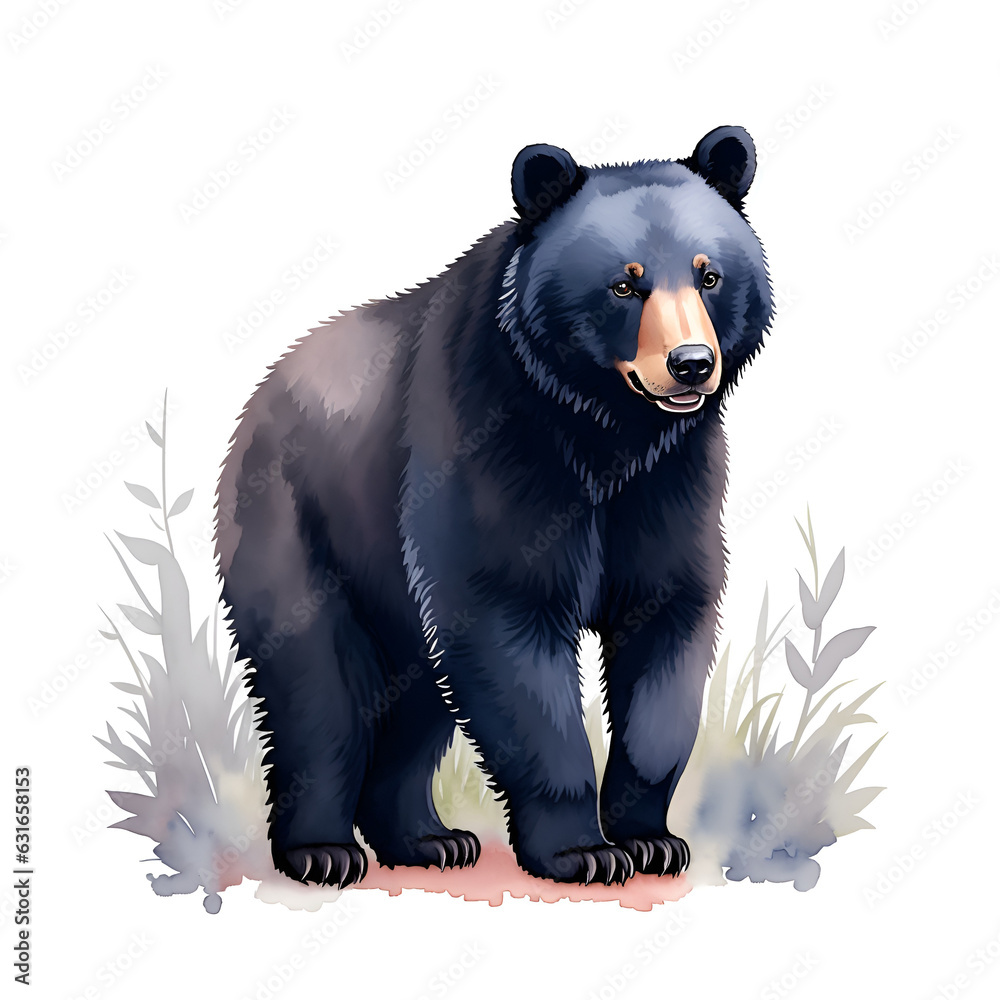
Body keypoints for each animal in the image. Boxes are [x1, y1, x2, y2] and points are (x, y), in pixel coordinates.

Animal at [215, 125, 773, 888]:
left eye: (708, 275)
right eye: (624, 283)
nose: (691, 364)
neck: (605, 430)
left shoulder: (672, 482)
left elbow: (666, 629)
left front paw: (651, 839)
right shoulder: (491, 440)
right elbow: (509, 625)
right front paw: (581, 849)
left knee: (417, 697)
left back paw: (428, 839)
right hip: (299, 517)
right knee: (315, 688)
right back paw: (323, 849)